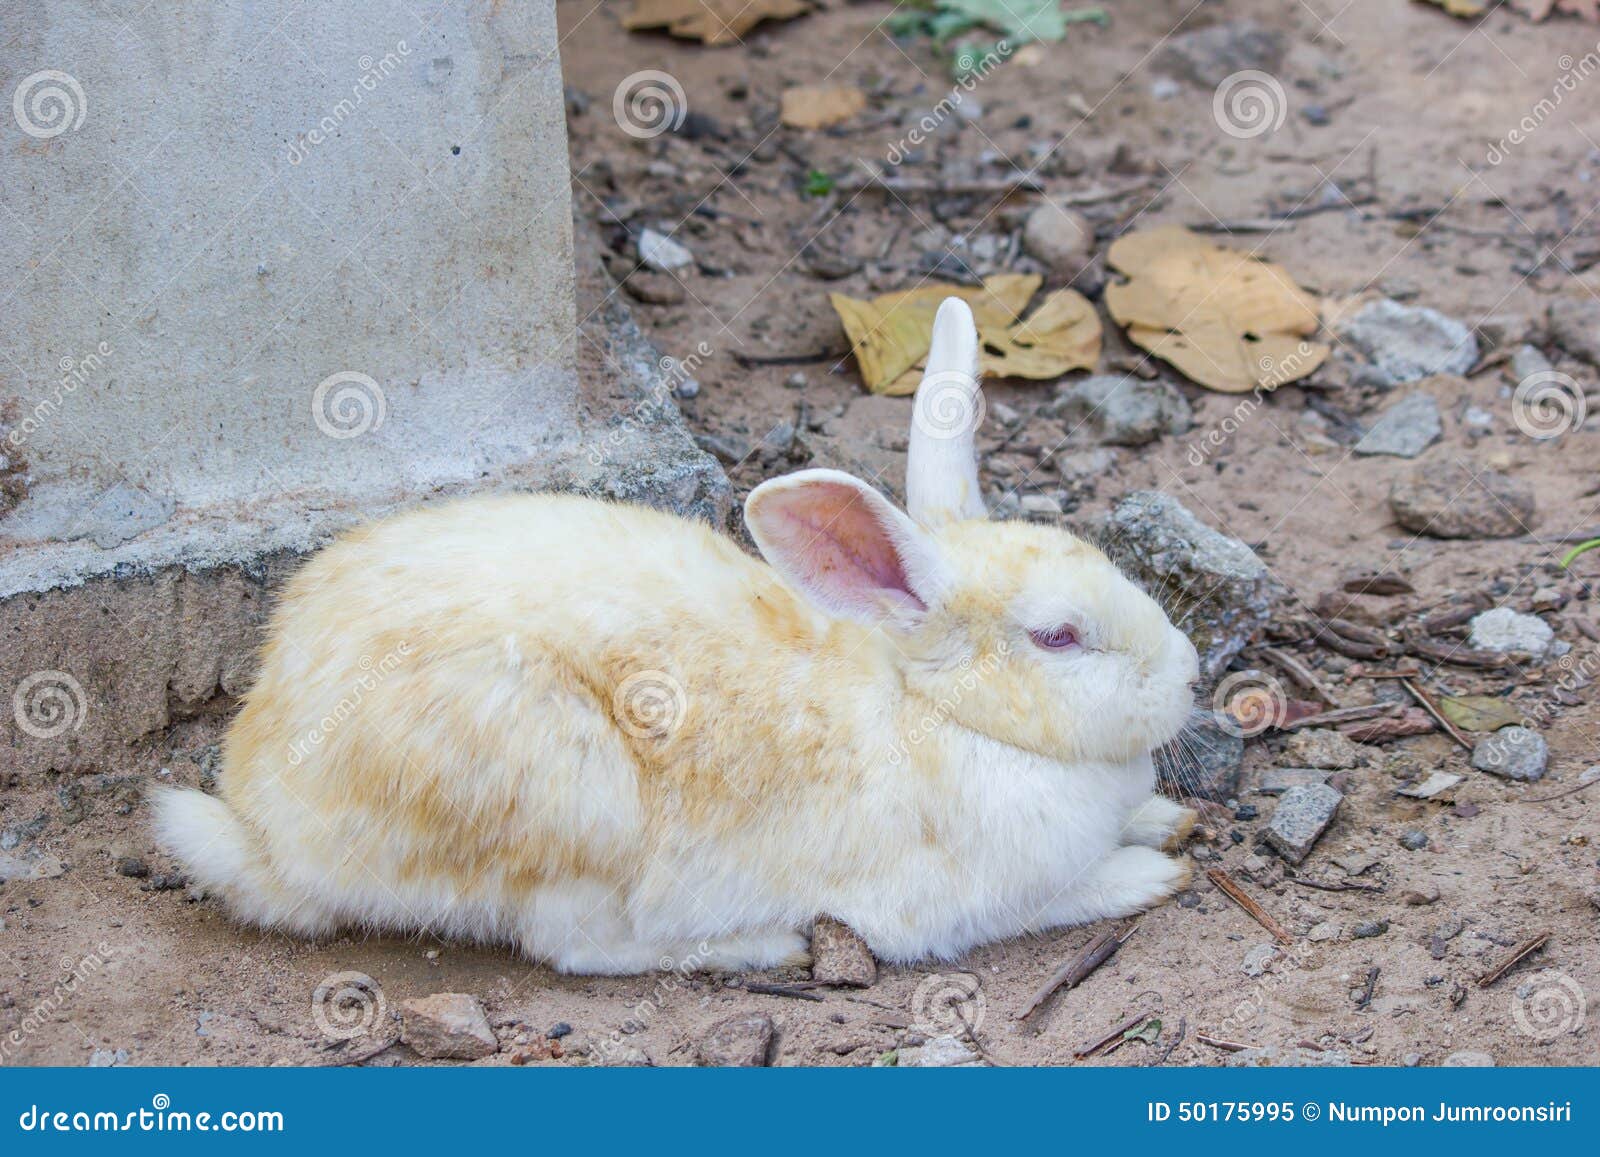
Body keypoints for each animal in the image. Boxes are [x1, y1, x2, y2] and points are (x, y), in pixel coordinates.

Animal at [153, 298, 1201, 975]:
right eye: (1058, 637)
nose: (1189, 675)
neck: (936, 709)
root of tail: (266, 823)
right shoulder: (949, 904)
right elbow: (1073, 890)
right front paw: (1153, 869)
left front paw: (1163, 818)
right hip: (570, 808)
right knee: (579, 948)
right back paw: (767, 943)